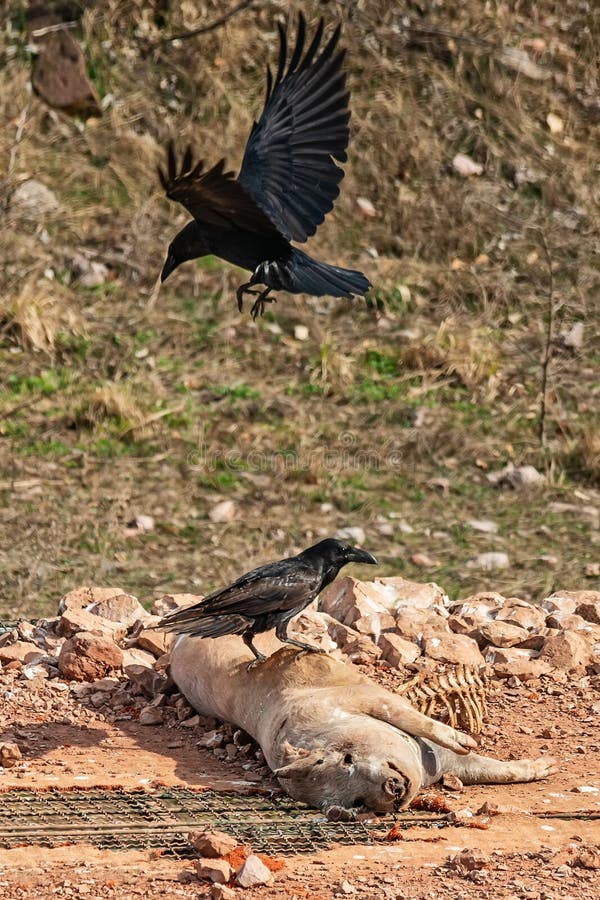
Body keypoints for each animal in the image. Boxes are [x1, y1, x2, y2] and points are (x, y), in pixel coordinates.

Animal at [170, 633, 555, 815]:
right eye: (357, 802)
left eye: (348, 759)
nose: (393, 790)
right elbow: (481, 769)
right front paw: (545, 766)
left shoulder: (354, 697)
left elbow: (406, 712)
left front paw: (469, 741)